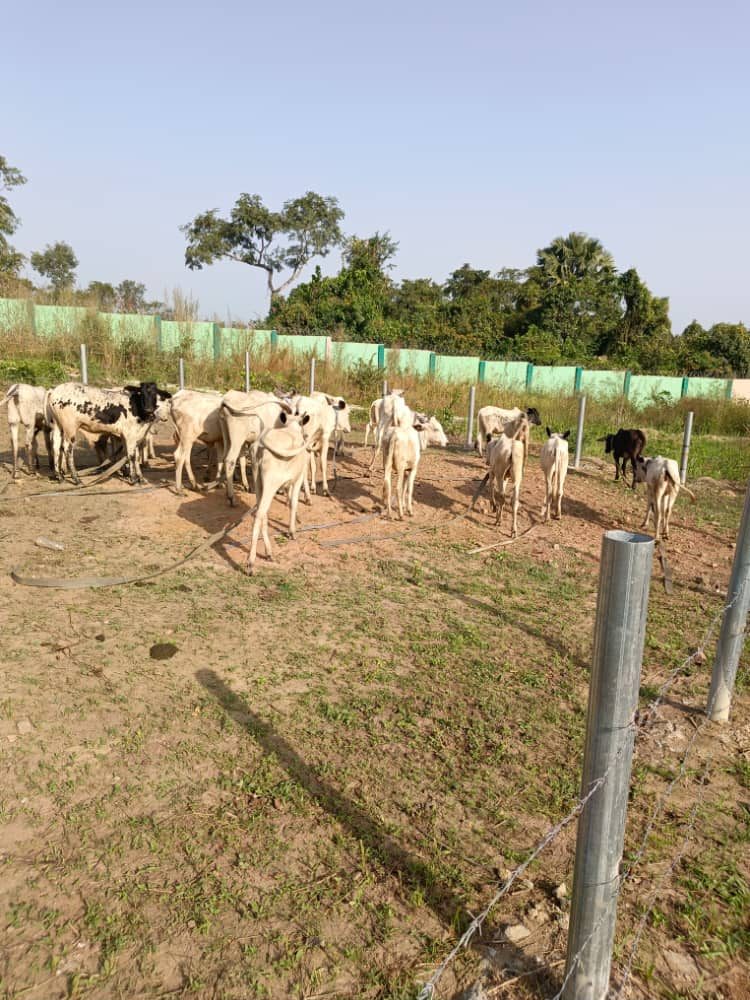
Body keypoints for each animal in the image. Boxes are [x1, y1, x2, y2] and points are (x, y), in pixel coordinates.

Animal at [246, 412, 312, 574]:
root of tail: (260, 445)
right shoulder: (298, 478)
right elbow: (293, 503)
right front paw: (292, 531)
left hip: (258, 483)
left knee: (263, 514)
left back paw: (268, 552)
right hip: (270, 484)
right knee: (259, 515)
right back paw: (251, 563)